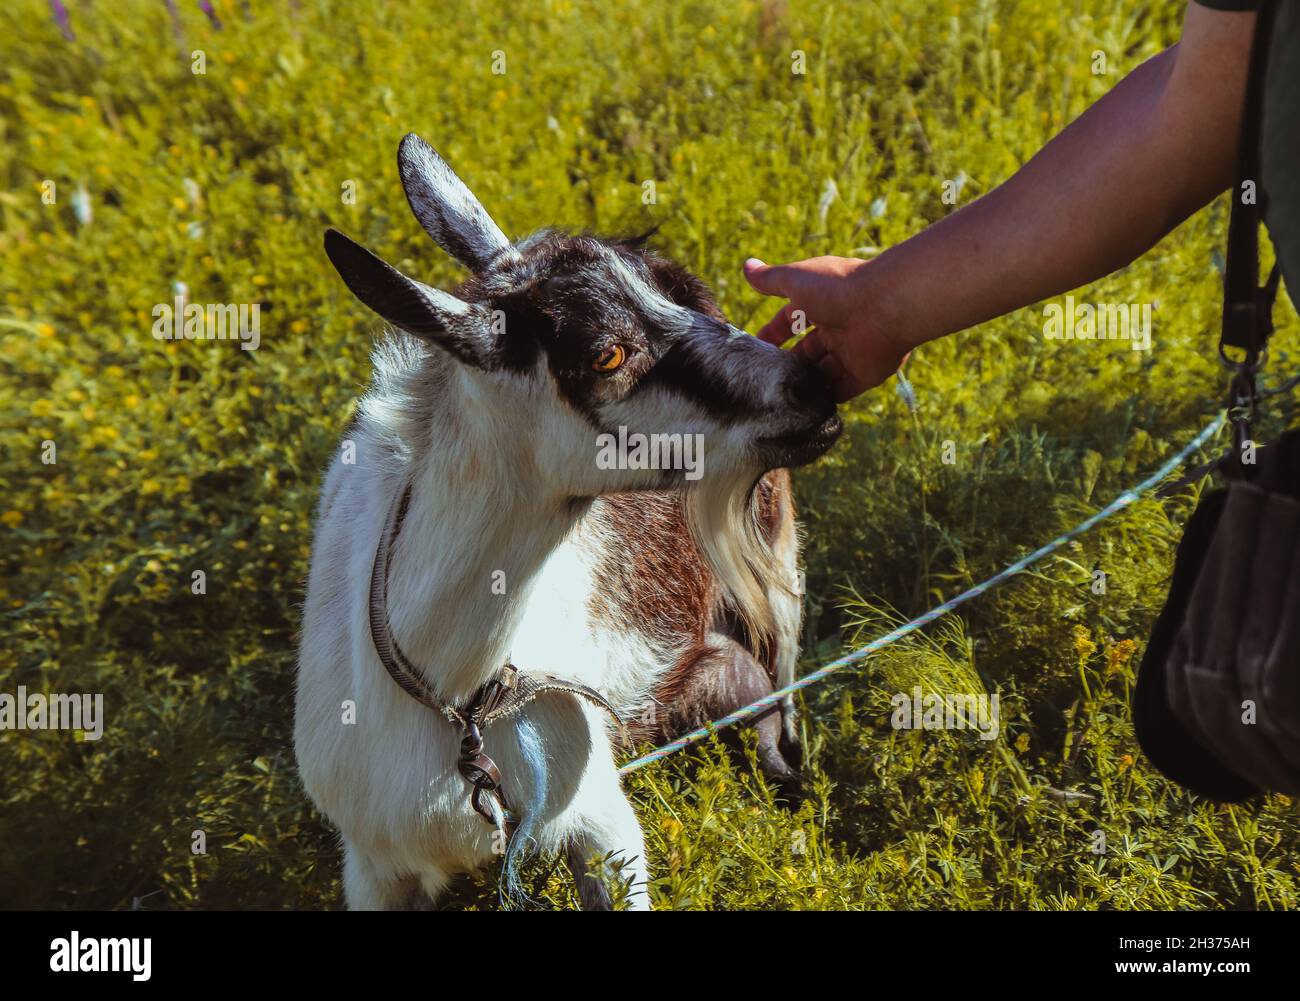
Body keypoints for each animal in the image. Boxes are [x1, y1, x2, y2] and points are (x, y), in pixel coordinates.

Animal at [294, 134, 842, 910]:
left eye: (673, 296)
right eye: (606, 353)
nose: (814, 384)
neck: (454, 702)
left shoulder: (600, 817)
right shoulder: (371, 866)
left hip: (775, 545)